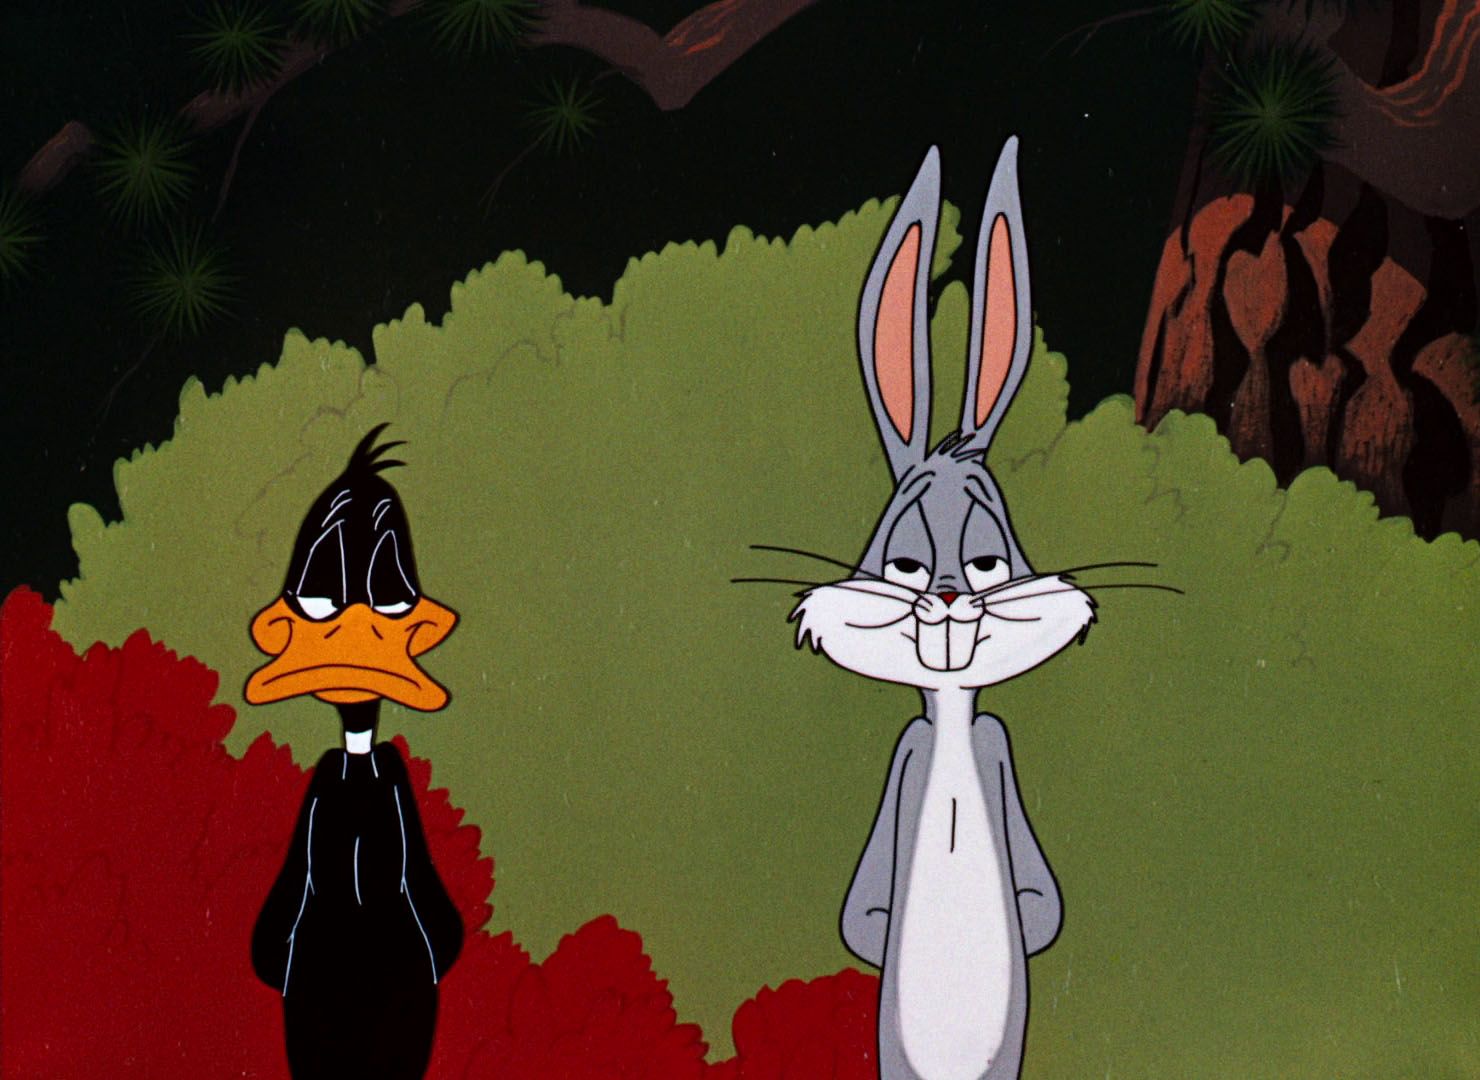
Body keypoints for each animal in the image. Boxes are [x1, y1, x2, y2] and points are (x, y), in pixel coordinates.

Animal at [790, 138, 1086, 1080]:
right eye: (906, 562)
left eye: (989, 559)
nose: (950, 594)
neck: (952, 723)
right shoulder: (910, 756)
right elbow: (863, 919)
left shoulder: (991, 746)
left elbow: (1038, 905)